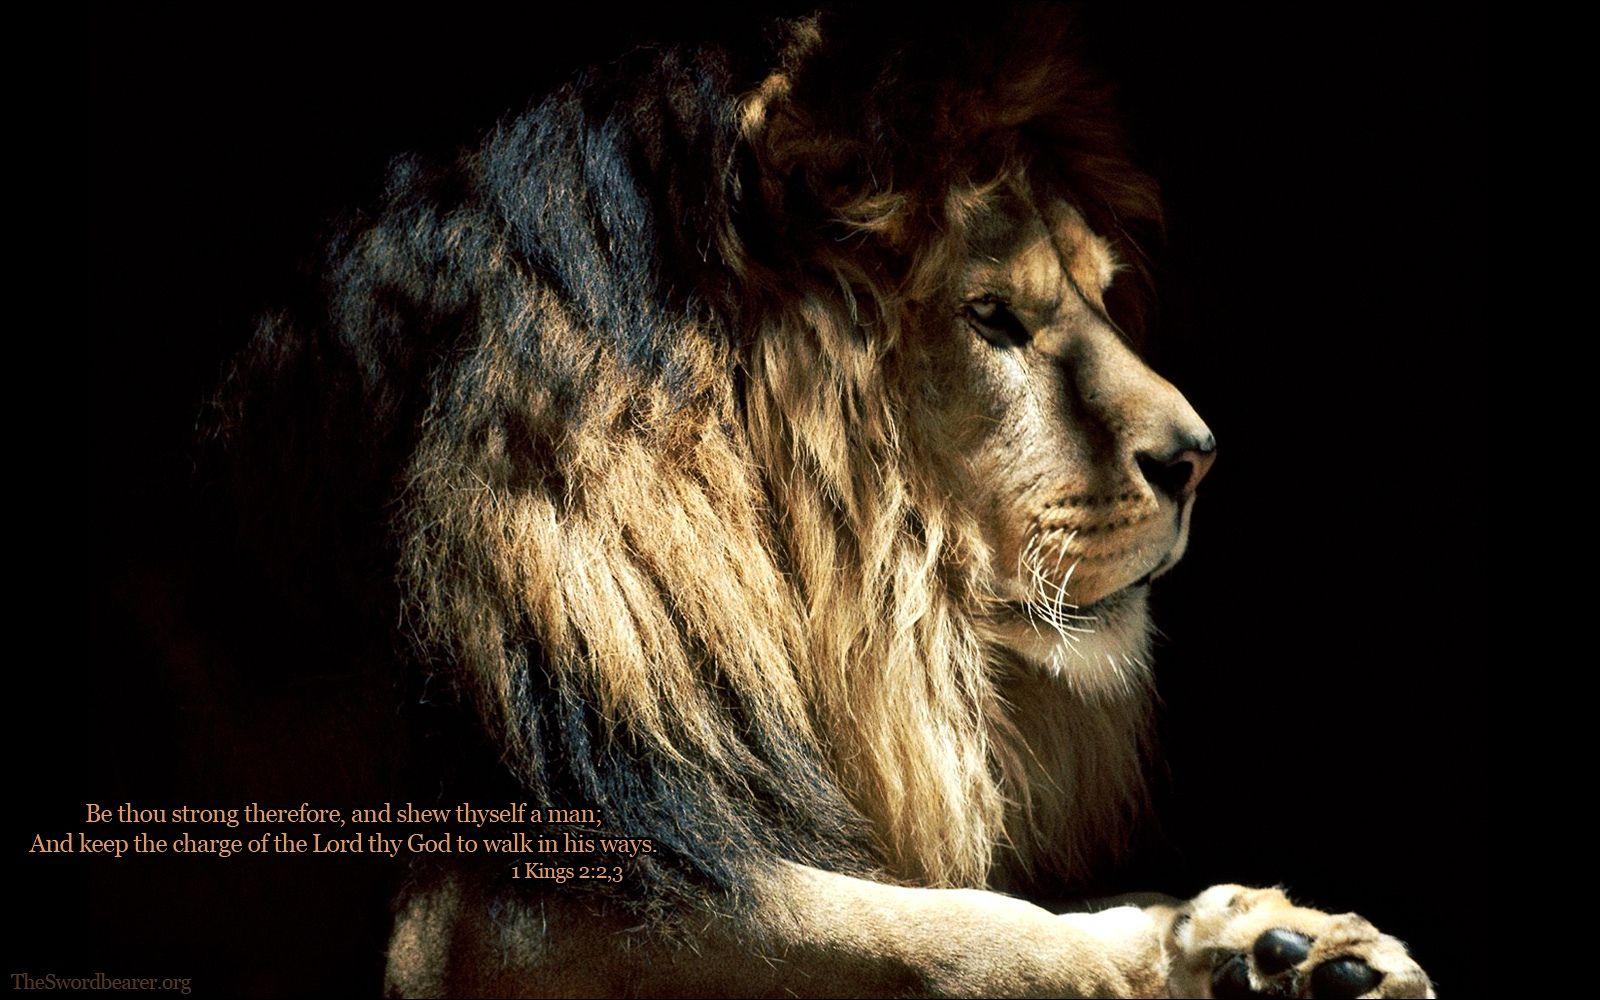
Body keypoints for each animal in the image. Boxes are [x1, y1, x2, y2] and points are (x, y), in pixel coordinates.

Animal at [206, 7, 1434, 998]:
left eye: (1097, 292)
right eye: (990, 315)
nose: (1197, 458)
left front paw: (1268, 948)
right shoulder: (467, 910)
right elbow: (954, 930)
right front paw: (1170, 960)